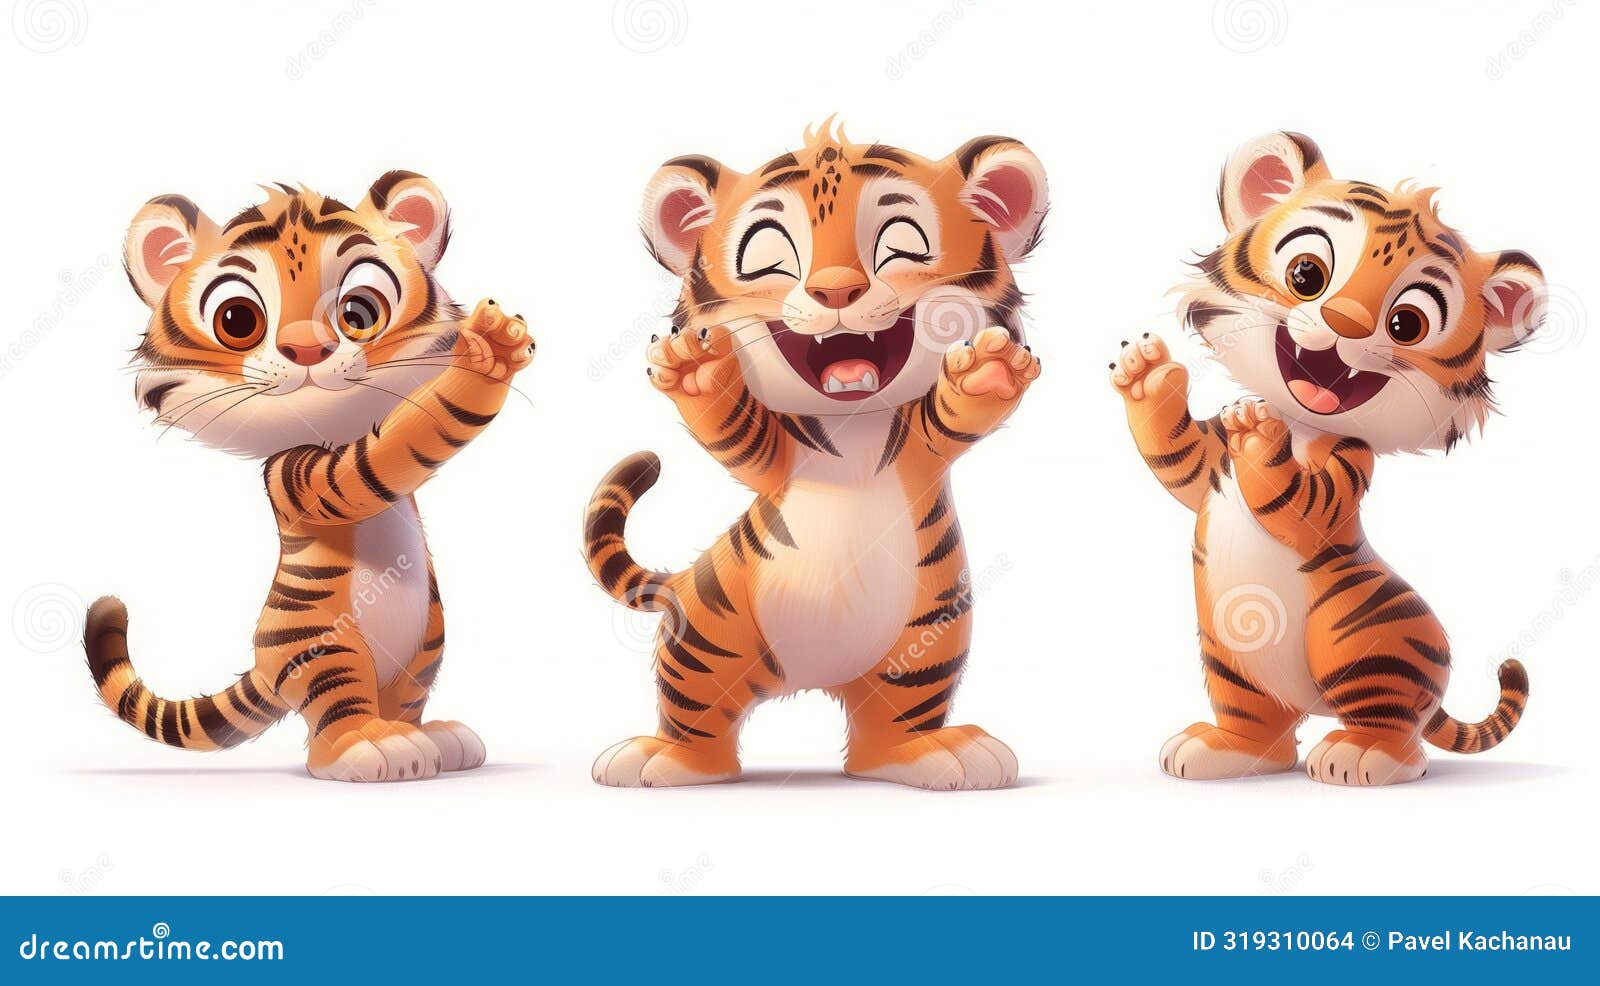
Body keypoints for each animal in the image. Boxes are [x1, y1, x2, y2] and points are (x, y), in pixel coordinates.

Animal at [84, 173, 535, 782]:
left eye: (359, 312)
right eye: (237, 320)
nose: (307, 348)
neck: (335, 429)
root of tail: (261, 663)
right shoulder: (303, 476)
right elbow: (406, 439)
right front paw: (488, 355)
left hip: (425, 648)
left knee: (405, 703)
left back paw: (432, 740)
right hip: (322, 646)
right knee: (335, 717)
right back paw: (368, 748)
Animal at [583, 122, 1048, 790]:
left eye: (901, 245)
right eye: (767, 255)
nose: (835, 290)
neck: (850, 421)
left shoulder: (924, 443)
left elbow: (960, 414)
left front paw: (988, 368)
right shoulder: (768, 453)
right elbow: (732, 433)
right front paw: (697, 367)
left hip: (924, 649)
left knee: (883, 736)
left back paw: (938, 754)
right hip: (706, 640)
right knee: (697, 716)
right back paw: (665, 759)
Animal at [1112, 131, 1542, 785]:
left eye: (1406, 323)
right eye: (1306, 274)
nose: (1344, 323)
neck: (1300, 421)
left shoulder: (1348, 471)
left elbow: (1301, 500)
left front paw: (1259, 436)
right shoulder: (1207, 464)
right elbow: (1172, 454)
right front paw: (1148, 376)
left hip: (1366, 646)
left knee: (1396, 733)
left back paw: (1360, 754)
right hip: (1231, 663)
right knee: (1266, 731)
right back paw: (1221, 749)